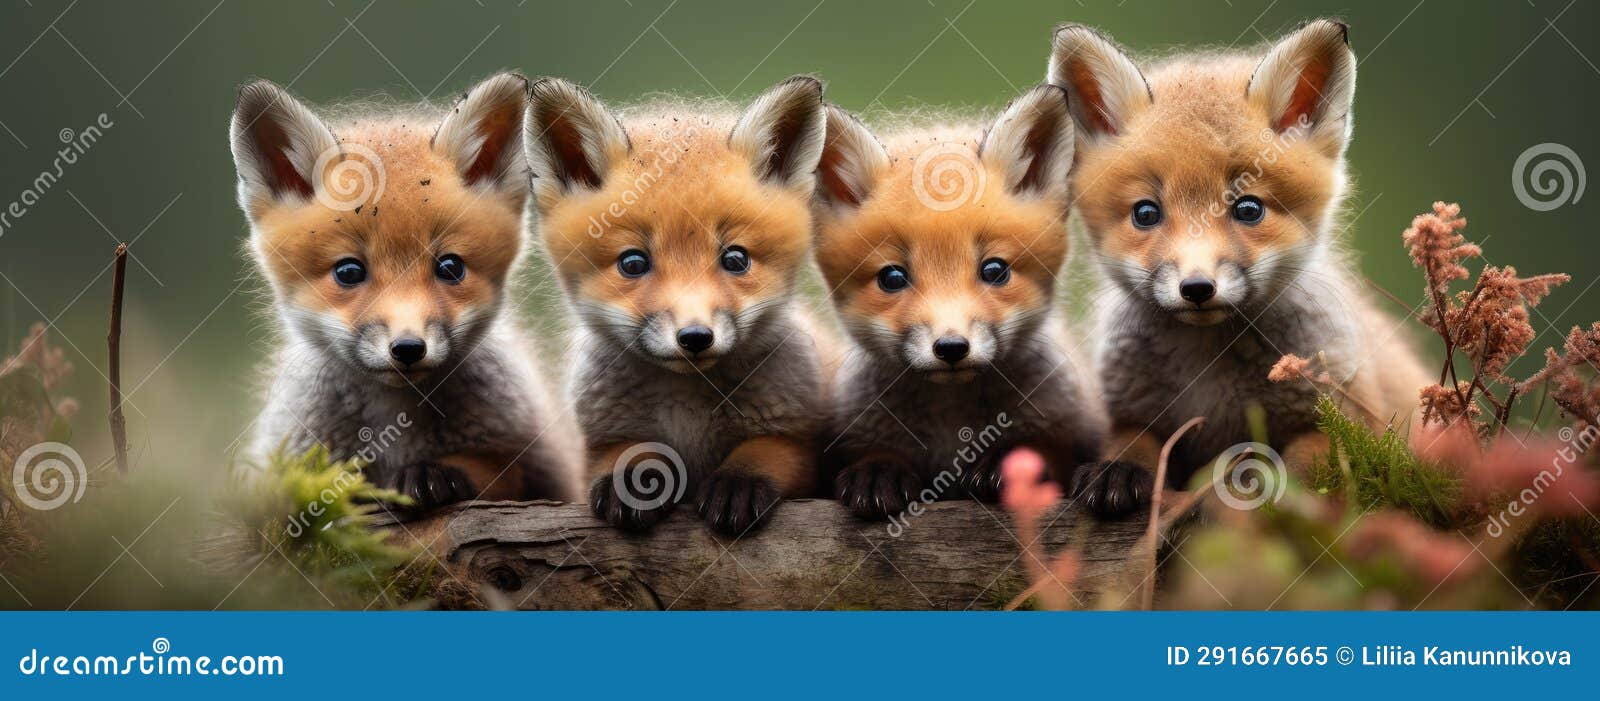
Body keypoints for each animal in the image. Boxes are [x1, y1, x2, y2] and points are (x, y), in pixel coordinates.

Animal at [231, 72, 583, 511]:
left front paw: (434, 475)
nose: (408, 348)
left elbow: (496, 470)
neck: (395, 424)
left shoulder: (542, 464)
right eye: (349, 272)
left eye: (450, 267)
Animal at [523, 76, 832, 534]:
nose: (695, 337)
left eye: (735, 259)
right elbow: (625, 453)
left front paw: (737, 483)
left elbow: (766, 452)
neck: (690, 412)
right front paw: (630, 481)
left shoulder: (797, 435)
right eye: (633, 263)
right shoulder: (599, 443)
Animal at [812, 85, 1106, 520]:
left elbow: (1044, 452)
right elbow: (876, 455)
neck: (952, 423)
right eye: (892, 278)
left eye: (995, 270)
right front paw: (879, 473)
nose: (951, 347)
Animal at [1047, 19, 1429, 517]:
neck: (1214, 377)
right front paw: (1119, 470)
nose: (1196, 287)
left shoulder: (1351, 421)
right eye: (1146, 213)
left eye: (1248, 209)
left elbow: (1308, 465)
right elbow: (1133, 443)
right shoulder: (1130, 412)